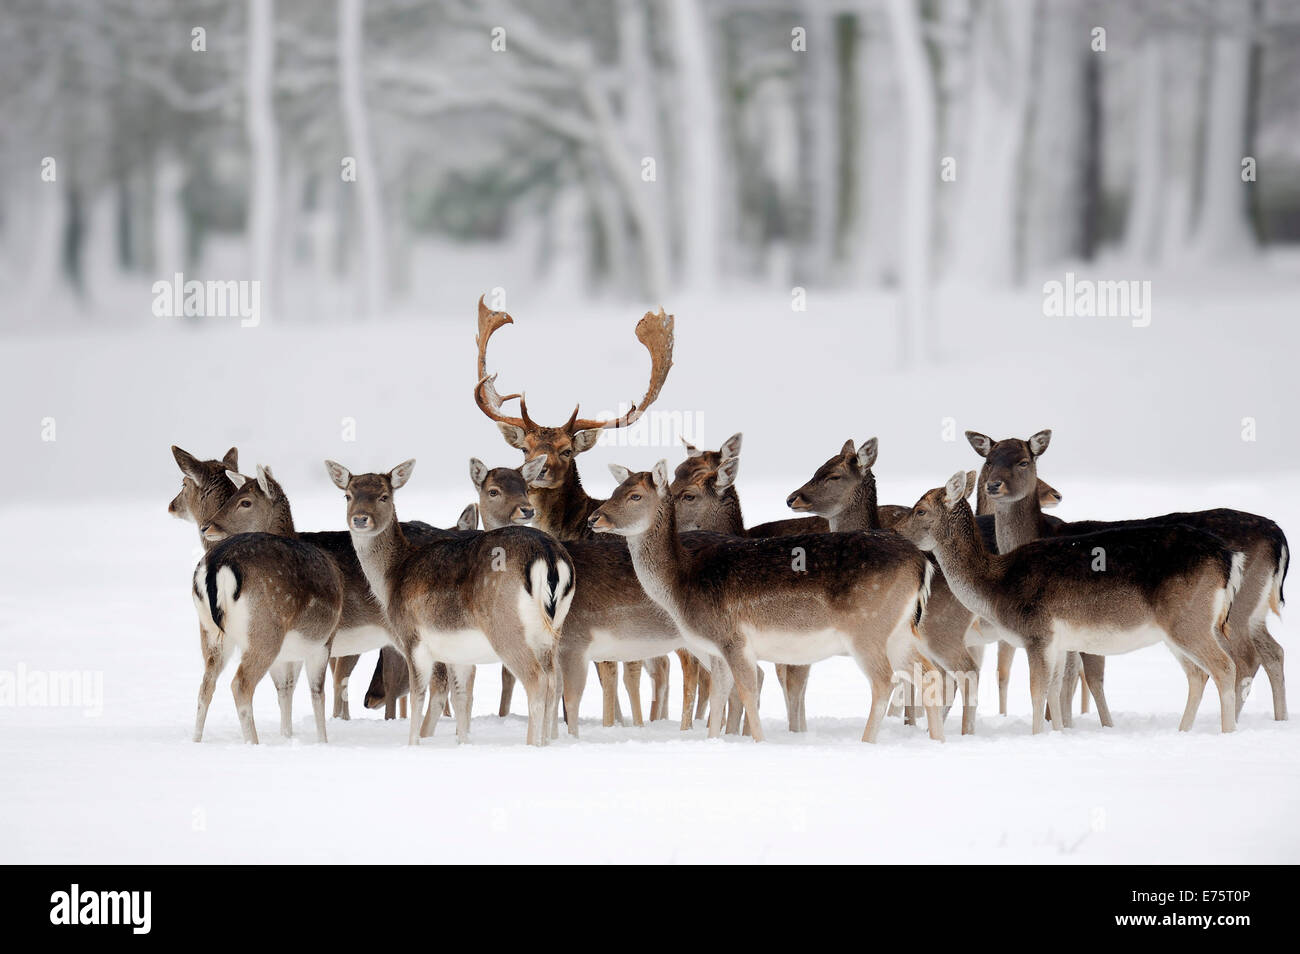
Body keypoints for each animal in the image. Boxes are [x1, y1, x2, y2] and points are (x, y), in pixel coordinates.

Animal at [190, 468, 345, 744]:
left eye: (245, 501)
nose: (207, 526)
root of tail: (218, 564)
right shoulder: (325, 639)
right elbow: (317, 692)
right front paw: (323, 741)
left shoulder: (288, 654)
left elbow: (285, 690)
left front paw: (287, 736)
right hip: (264, 630)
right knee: (240, 684)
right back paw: (253, 741)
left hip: (210, 631)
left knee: (206, 685)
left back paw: (196, 740)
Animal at [325, 459, 575, 746]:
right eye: (348, 495)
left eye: (384, 496)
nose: (359, 518)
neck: (392, 577)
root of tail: (549, 556)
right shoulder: (459, 651)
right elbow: (462, 697)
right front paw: (463, 742)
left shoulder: (412, 638)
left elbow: (418, 695)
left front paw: (413, 743)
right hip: (552, 632)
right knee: (555, 681)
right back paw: (546, 742)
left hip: (506, 628)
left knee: (537, 681)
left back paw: (532, 743)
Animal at [589, 461, 939, 743]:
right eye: (615, 489)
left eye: (635, 495)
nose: (595, 518)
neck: (680, 586)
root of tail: (921, 563)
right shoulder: (716, 648)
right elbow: (719, 693)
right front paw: (714, 741)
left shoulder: (734, 638)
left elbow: (746, 690)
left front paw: (757, 741)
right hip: (901, 631)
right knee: (928, 673)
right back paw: (937, 741)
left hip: (867, 628)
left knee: (883, 681)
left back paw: (866, 742)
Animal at [896, 470, 1243, 734]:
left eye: (921, 509)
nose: (896, 532)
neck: (995, 586)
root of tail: (1229, 558)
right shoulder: (1059, 641)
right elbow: (1054, 690)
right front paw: (1059, 733)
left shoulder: (1037, 633)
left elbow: (1038, 693)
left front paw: (1037, 736)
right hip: (1177, 629)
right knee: (1197, 674)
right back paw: (1184, 730)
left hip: (1189, 620)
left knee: (1226, 667)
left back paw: (1226, 732)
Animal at [968, 428, 1288, 722]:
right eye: (989, 460)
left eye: (1024, 461)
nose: (993, 485)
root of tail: (1278, 537)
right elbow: (1074, 677)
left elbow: (1077, 678)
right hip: (1254, 611)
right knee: (1273, 652)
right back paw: (1279, 717)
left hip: (1235, 612)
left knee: (1245, 659)